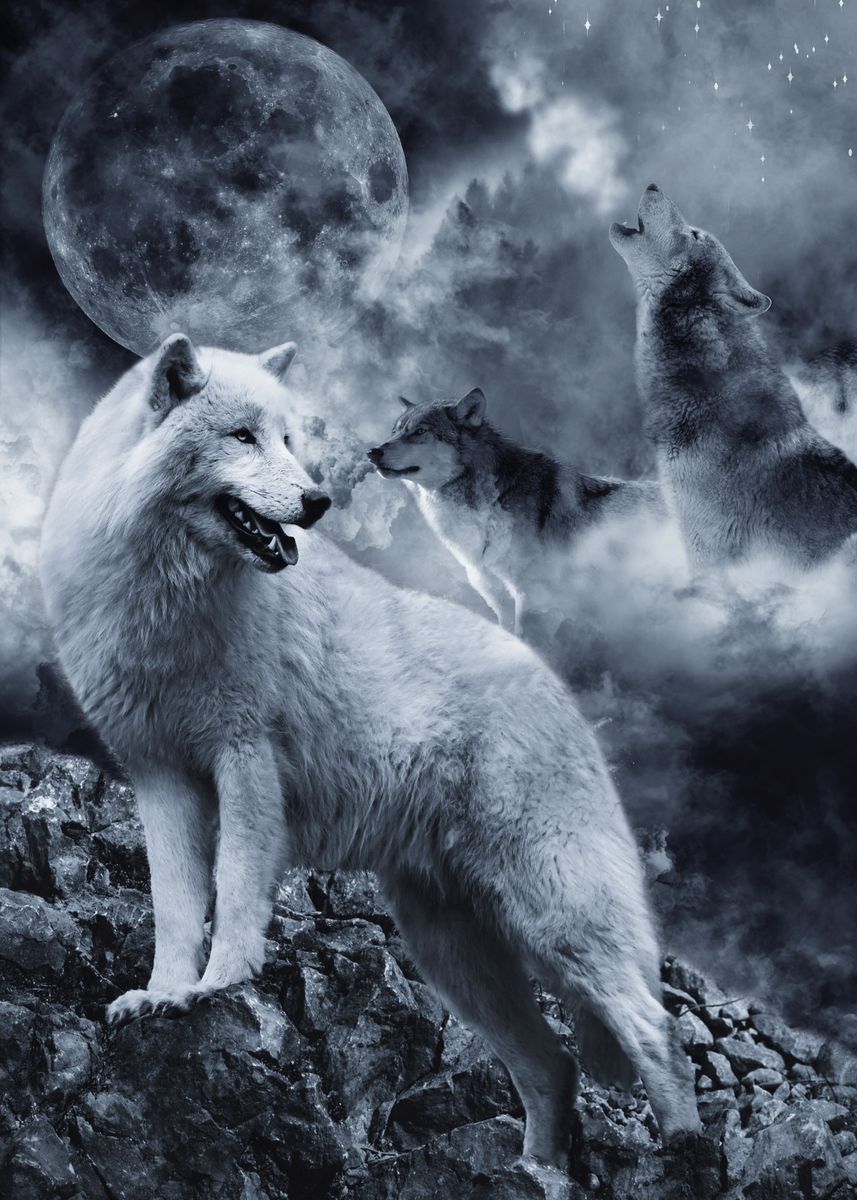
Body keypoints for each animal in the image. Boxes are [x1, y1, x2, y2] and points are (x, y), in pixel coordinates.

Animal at [368, 389, 666, 633]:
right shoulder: (496, 594)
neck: (488, 504)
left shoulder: (532, 597)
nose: (372, 452)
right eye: (395, 431)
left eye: (420, 432)